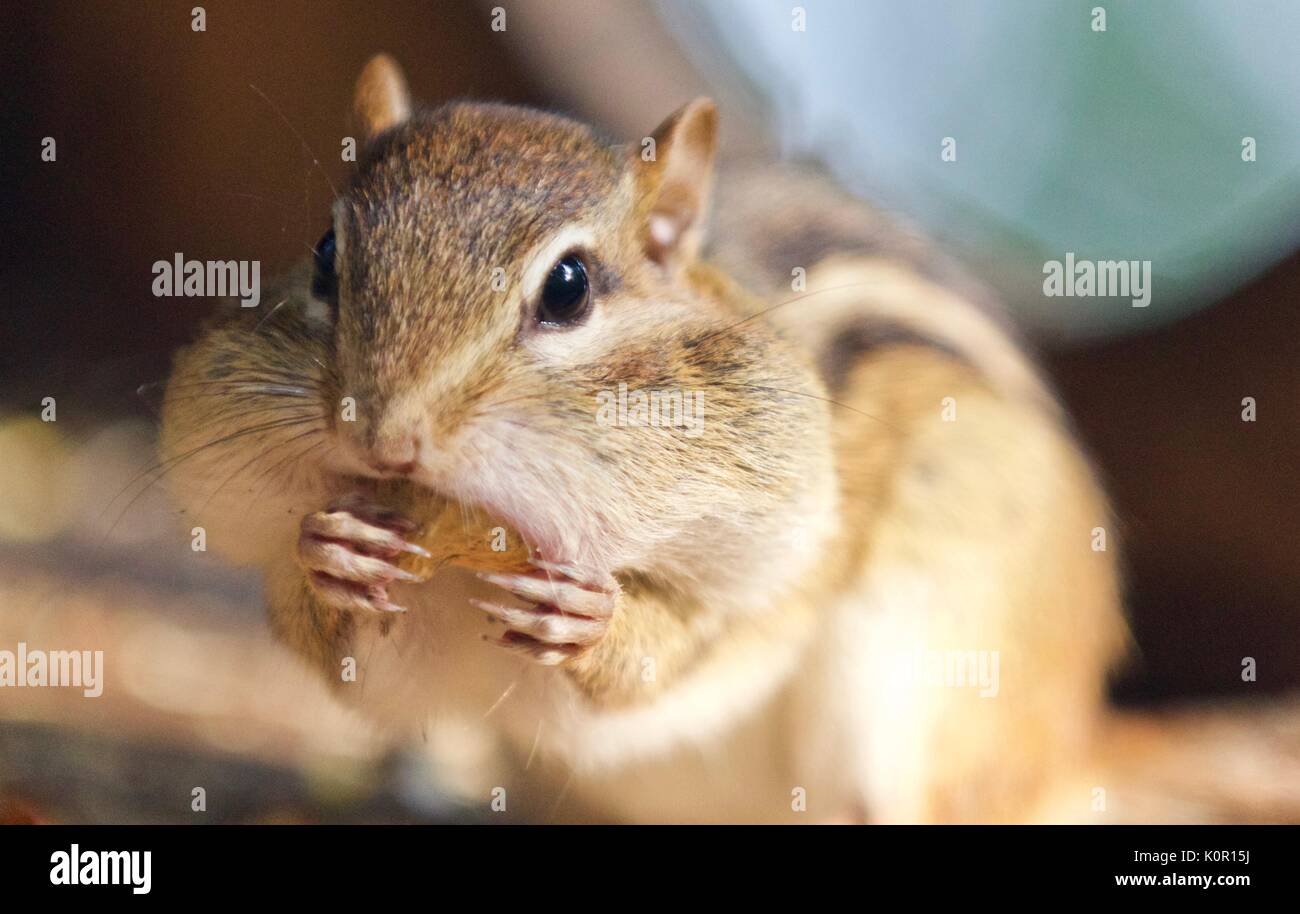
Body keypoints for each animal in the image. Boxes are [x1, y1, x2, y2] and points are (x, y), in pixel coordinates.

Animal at [159, 54, 1128, 823]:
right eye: (326, 256)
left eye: (570, 287)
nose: (387, 438)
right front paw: (330, 552)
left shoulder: (785, 564)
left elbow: (685, 648)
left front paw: (599, 617)